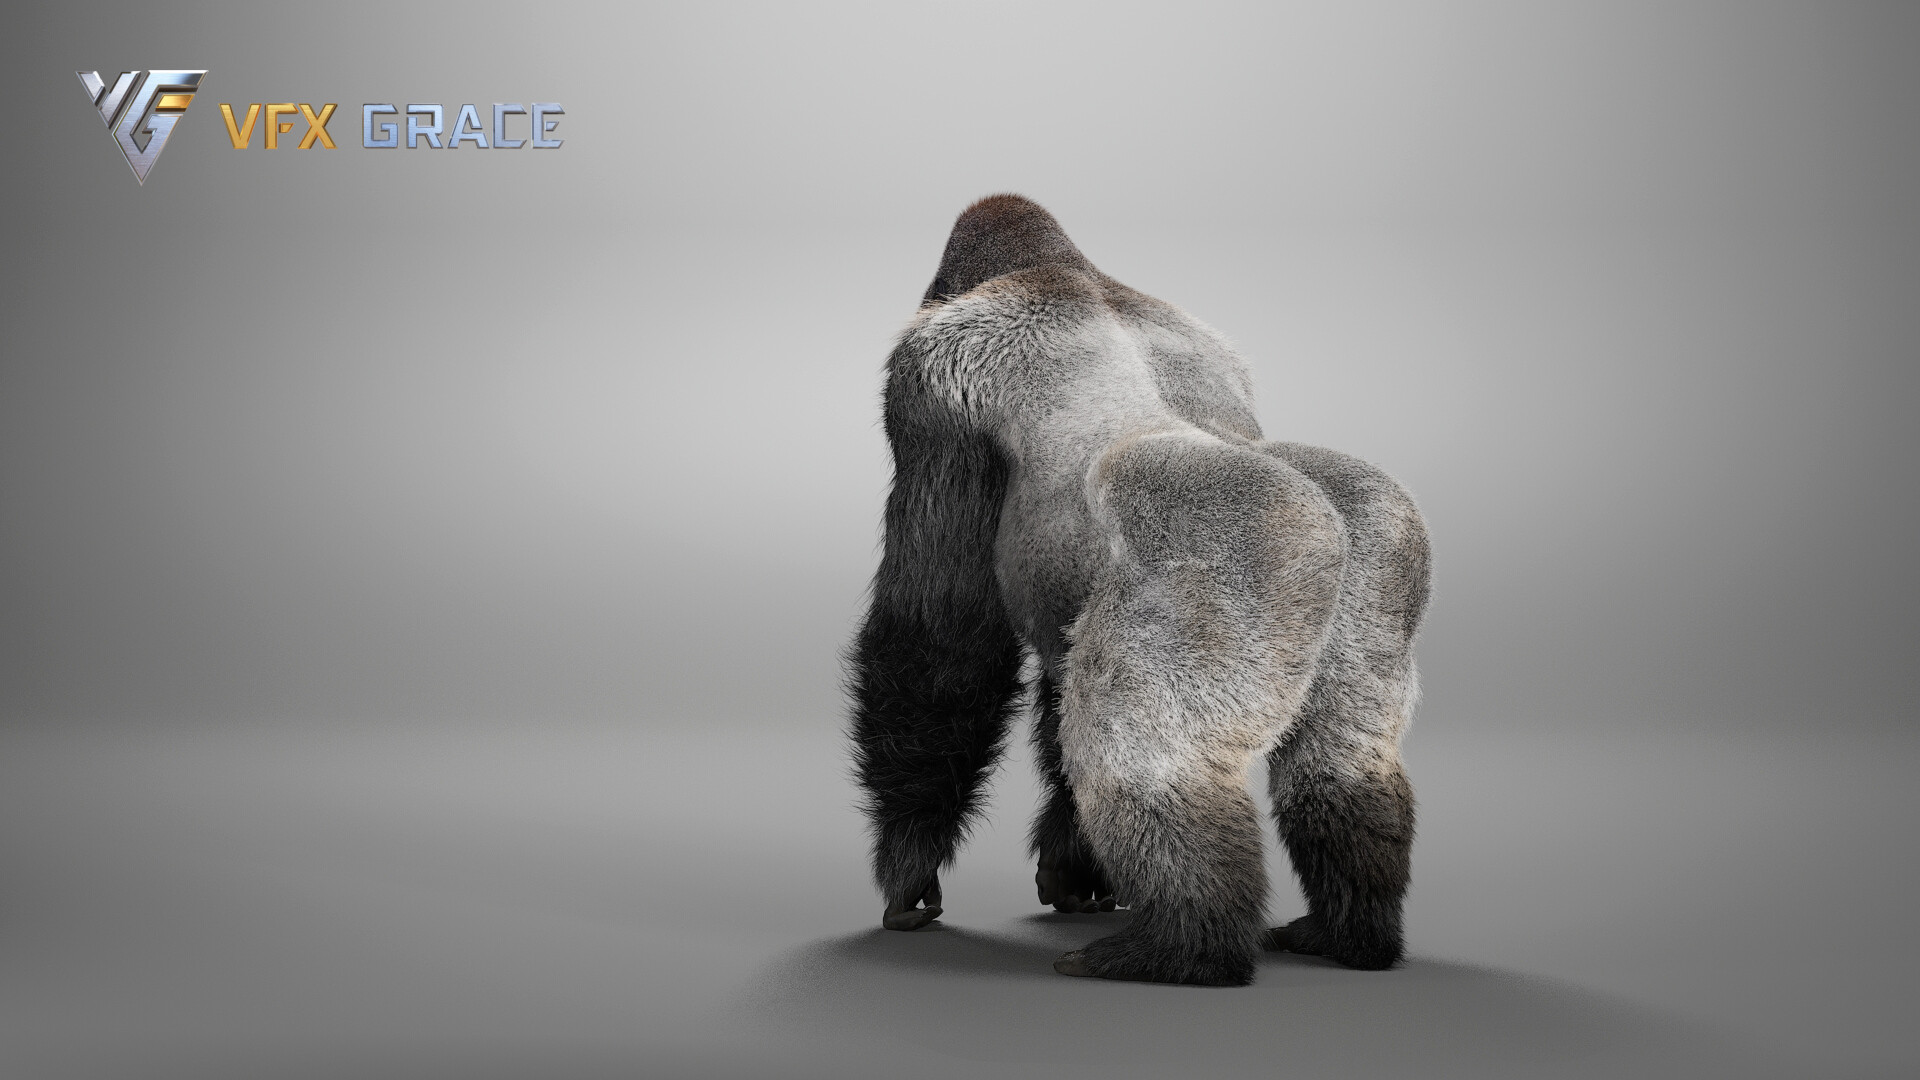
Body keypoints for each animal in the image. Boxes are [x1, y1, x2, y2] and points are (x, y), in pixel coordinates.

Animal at [846, 195, 1430, 986]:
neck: (1062, 267)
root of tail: (1325, 517)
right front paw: (1073, 868)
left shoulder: (929, 389)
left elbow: (939, 637)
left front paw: (910, 860)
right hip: (1380, 557)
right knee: (1345, 758)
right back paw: (1348, 929)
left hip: (1245, 549)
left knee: (1137, 745)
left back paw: (1185, 947)